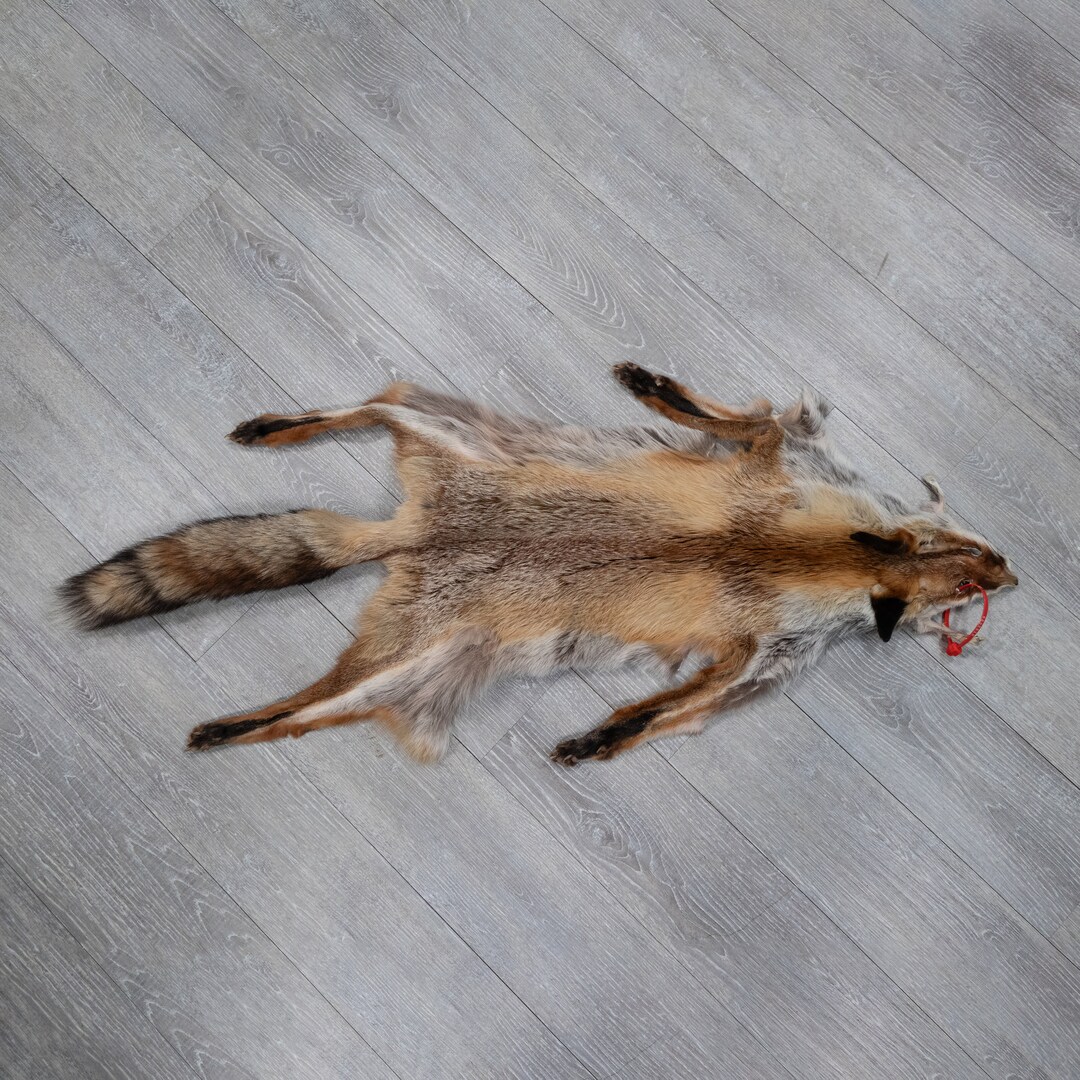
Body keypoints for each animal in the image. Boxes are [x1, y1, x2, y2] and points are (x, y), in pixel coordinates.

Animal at [60, 363, 1017, 765]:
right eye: (973, 565)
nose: (1016, 575)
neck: (809, 553)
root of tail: (407, 537)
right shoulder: (779, 486)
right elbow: (738, 414)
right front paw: (652, 386)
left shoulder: (757, 649)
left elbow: (655, 714)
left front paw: (597, 739)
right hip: (427, 600)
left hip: (420, 636)